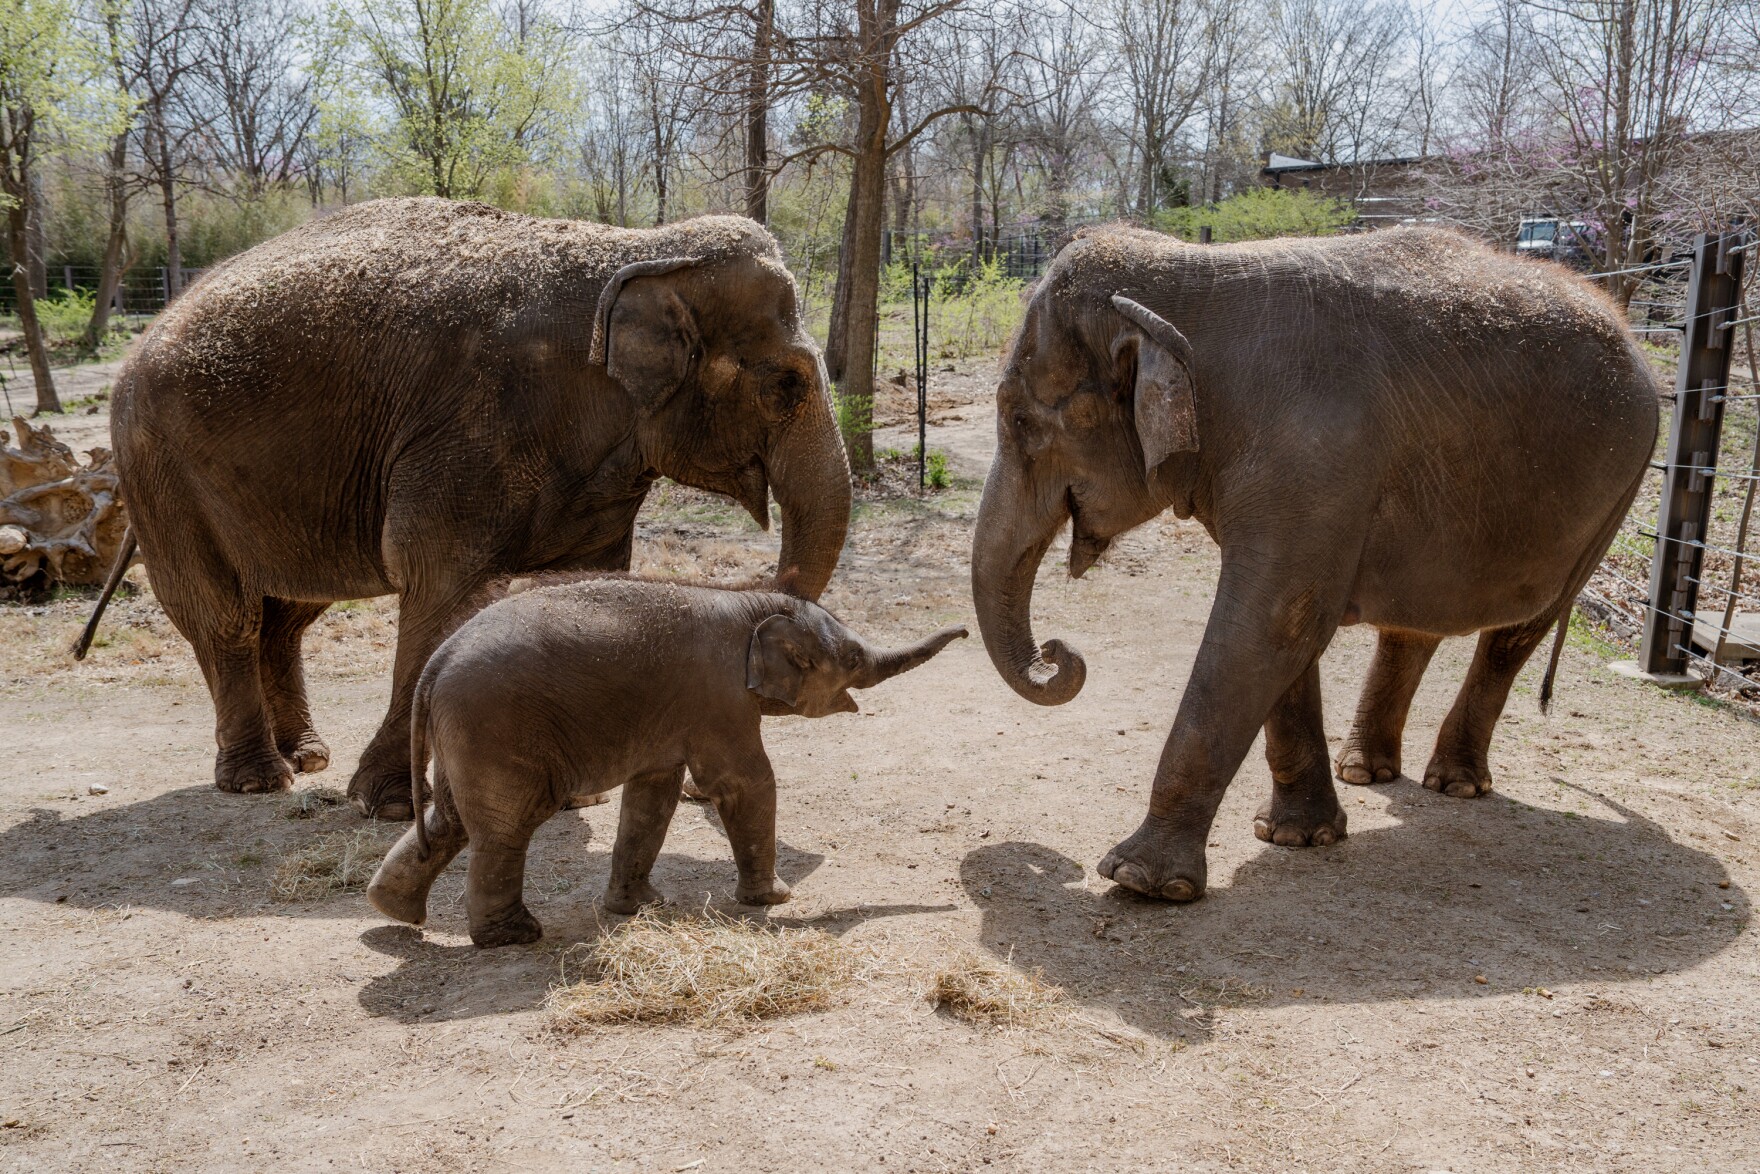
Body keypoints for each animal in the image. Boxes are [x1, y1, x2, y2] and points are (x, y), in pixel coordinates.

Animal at [100, 198, 851, 817]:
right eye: (787, 384)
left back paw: (306, 757)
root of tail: (147, 333)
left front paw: (577, 797)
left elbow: (584, 587)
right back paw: (259, 781)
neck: (638, 246)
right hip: (157, 468)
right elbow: (440, 589)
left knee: (289, 612)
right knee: (225, 614)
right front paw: (391, 807)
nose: (701, 792)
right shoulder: (467, 433)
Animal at [366, 575, 967, 947]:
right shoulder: (719, 698)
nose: (964, 629)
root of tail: (436, 663)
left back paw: (392, 911)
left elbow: (653, 794)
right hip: (492, 726)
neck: (748, 600)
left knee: (450, 821)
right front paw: (774, 900)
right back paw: (516, 937)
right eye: (852, 657)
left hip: (463, 734)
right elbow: (744, 782)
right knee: (506, 826)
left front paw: (640, 909)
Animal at [970, 224, 1659, 903]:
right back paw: (1367, 773)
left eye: (1021, 421)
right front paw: (1295, 838)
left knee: (1518, 632)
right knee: (1414, 622)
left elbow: (1272, 622)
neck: (1190, 275)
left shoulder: (1316, 460)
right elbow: (1286, 630)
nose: (1057, 651)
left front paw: (1140, 881)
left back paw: (1454, 784)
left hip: (1613, 498)